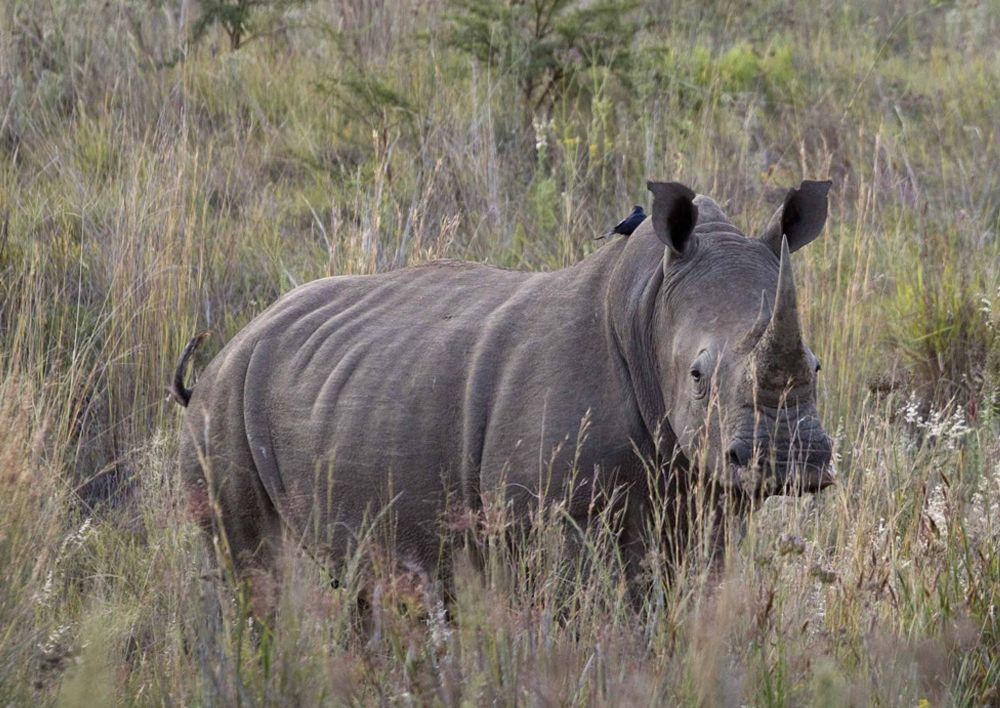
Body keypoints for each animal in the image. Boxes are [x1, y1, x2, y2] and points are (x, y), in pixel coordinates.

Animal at [173, 180, 835, 595]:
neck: (649, 305)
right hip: (222, 408)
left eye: (817, 367)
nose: (789, 460)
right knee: (258, 573)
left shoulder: (704, 499)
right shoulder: (547, 518)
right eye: (697, 376)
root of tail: (230, 347)